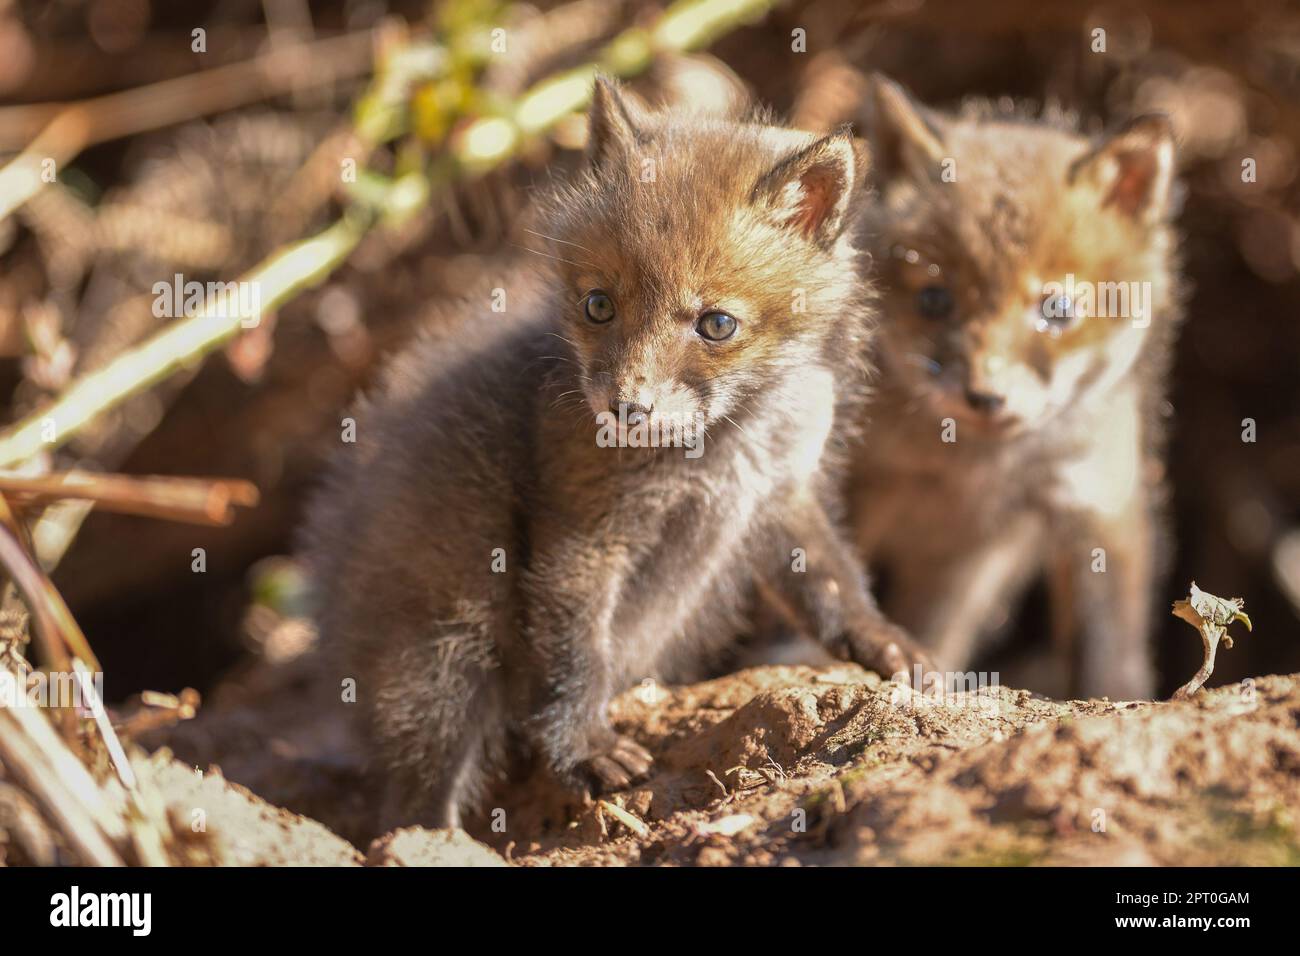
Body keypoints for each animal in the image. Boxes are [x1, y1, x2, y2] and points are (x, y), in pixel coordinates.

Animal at [301, 78, 929, 829]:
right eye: (598, 305)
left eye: (717, 324)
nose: (625, 409)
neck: (721, 447)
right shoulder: (582, 536)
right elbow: (578, 655)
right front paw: (584, 746)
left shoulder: (781, 494)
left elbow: (834, 582)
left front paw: (885, 641)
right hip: (442, 667)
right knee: (412, 803)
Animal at [845, 76, 1182, 700]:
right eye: (935, 300)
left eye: (1057, 310)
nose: (985, 396)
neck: (976, 472)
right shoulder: (857, 483)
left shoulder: (1098, 503)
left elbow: (1110, 649)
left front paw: (1120, 698)